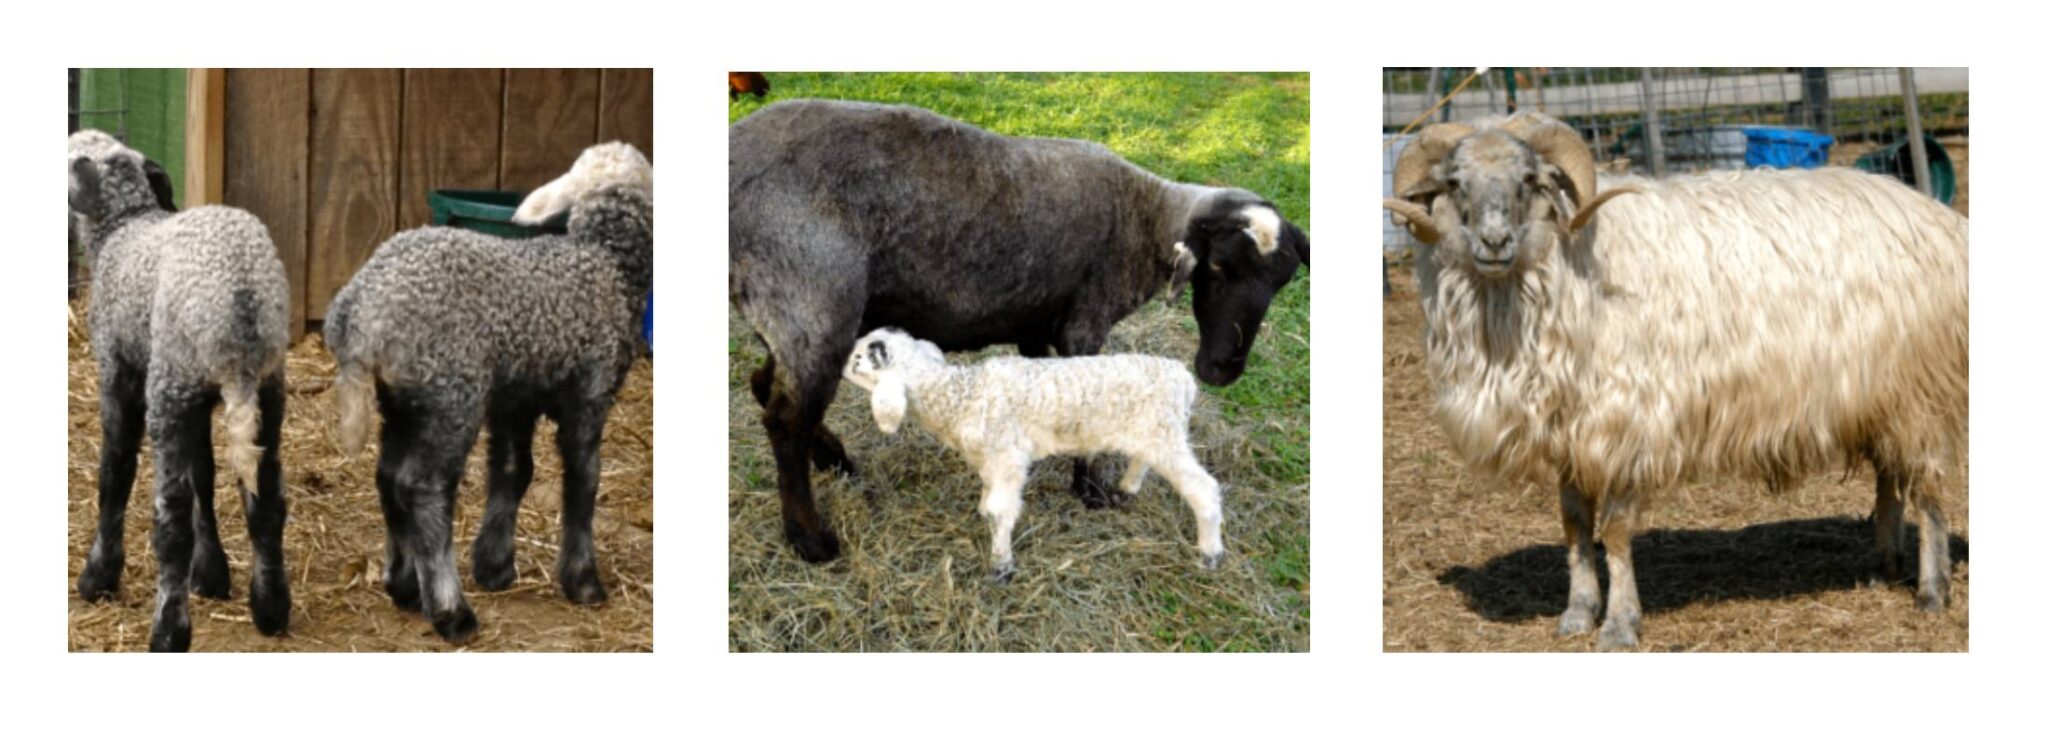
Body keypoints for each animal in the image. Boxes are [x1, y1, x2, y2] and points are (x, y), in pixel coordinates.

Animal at [69, 130, 293, 652]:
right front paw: (211, 575)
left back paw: (169, 631)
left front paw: (98, 577)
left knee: (168, 523)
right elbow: (204, 477)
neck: (124, 225)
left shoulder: (121, 376)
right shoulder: (198, 400)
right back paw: (271, 609)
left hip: (168, 389)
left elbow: (115, 472)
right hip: (265, 393)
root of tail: (241, 300)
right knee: (267, 503)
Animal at [324, 141, 652, 644]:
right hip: (451, 392)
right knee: (425, 488)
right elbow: (583, 480)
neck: (604, 255)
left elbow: (513, 471)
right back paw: (451, 611)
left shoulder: (515, 398)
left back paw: (404, 586)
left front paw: (494, 566)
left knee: (389, 479)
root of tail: (358, 306)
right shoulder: (590, 393)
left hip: (404, 399)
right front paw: (583, 582)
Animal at [841, 327, 1223, 581]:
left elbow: (1002, 509)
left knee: (1203, 489)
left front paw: (1000, 564)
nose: (836, 361)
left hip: (1165, 434)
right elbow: (989, 493)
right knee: (1144, 459)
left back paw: (1210, 553)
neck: (960, 395)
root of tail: (1183, 378)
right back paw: (1127, 487)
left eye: (858, 361)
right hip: (1154, 433)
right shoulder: (991, 457)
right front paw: (983, 511)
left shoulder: (1009, 458)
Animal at [1382, 112, 1968, 651]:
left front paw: (1620, 625)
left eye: (1529, 179)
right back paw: (1882, 565)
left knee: (1927, 489)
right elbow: (1574, 524)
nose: (1494, 241)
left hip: (1918, 390)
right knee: (1890, 476)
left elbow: (1616, 530)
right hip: (1880, 394)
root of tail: (1941, 220)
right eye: (1454, 182)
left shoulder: (1627, 421)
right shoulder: (1572, 429)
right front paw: (1577, 613)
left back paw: (1931, 590)